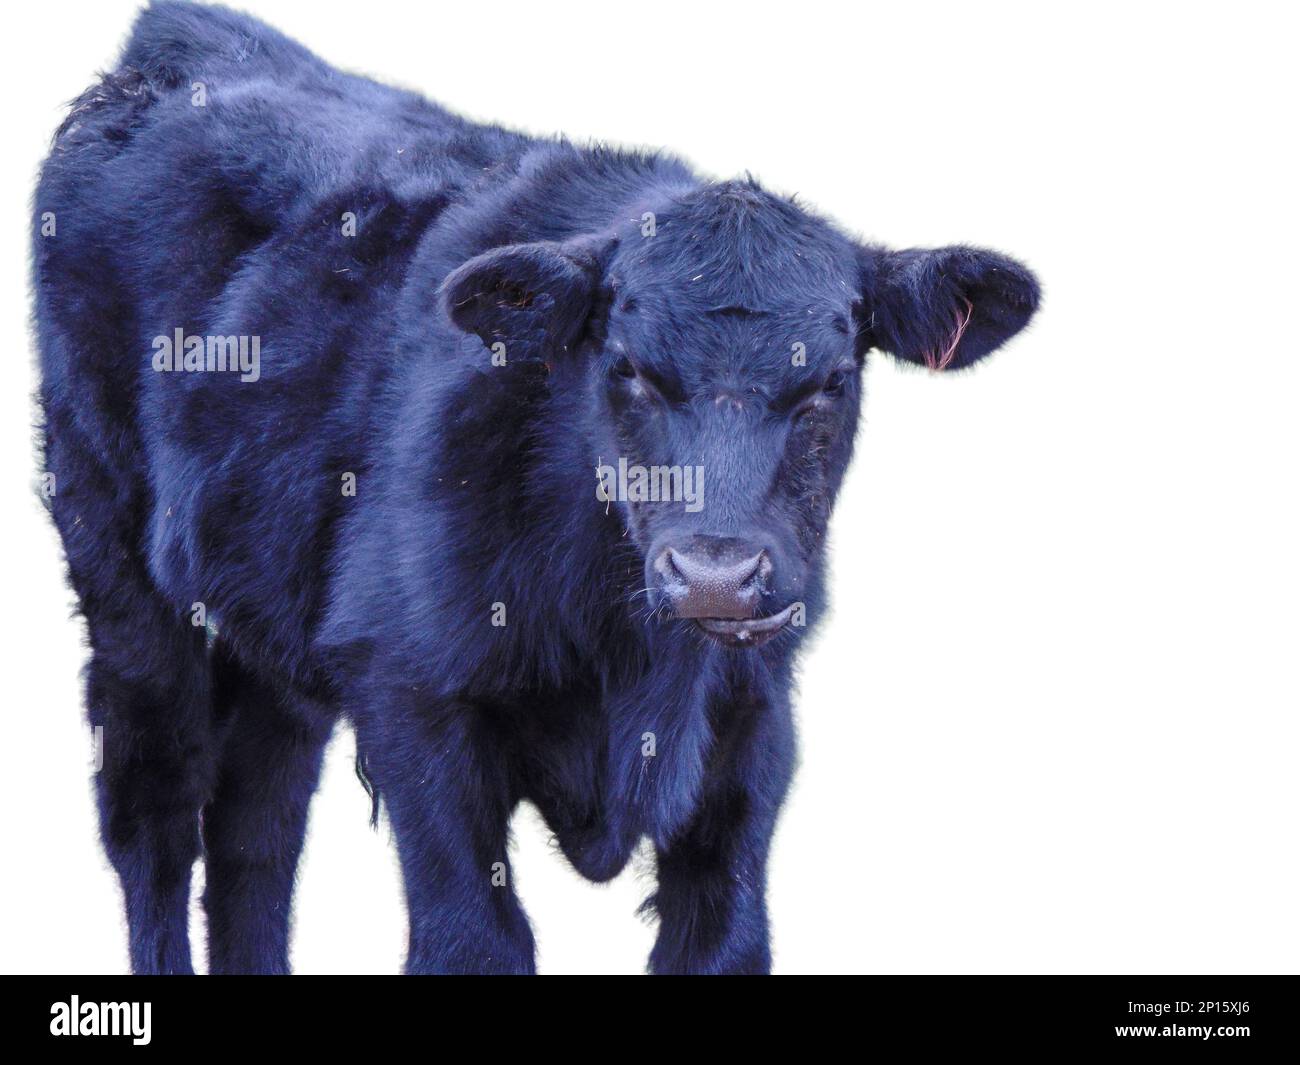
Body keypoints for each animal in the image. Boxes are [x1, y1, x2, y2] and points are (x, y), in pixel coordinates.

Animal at [33, 1, 1039, 974]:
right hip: (118, 564)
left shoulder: (752, 723)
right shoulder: (409, 691)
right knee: (157, 815)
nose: (715, 574)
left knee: (256, 828)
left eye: (828, 380)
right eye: (627, 367)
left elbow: (723, 938)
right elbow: (475, 938)